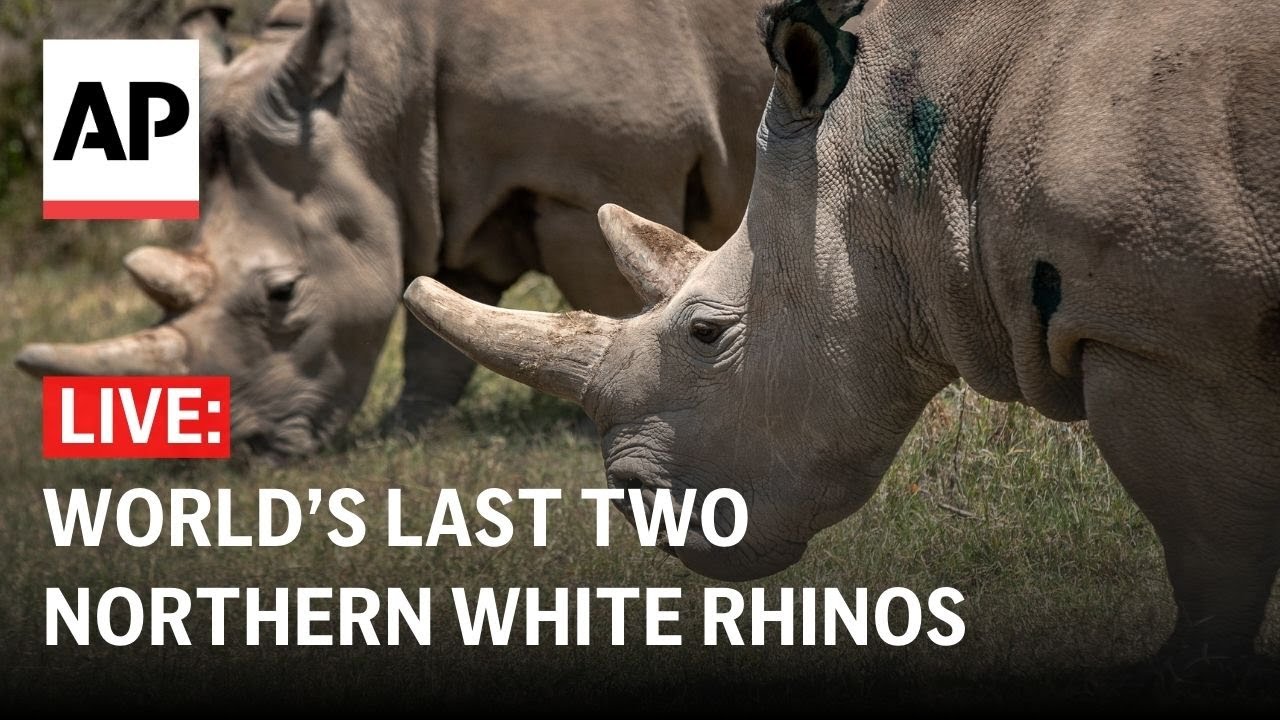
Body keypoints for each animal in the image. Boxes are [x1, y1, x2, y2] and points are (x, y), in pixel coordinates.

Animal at [14, 0, 772, 457]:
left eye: (283, 294)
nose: (249, 451)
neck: (377, 87)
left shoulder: (594, 176)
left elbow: (610, 297)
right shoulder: (455, 188)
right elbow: (438, 326)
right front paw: (408, 432)